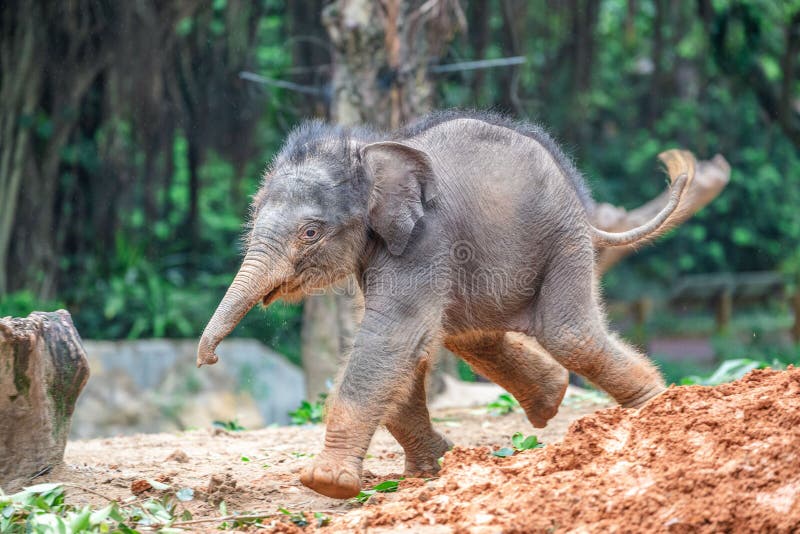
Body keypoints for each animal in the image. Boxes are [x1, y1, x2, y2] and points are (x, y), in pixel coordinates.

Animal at [197, 110, 695, 499]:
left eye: (310, 232)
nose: (209, 359)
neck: (370, 152)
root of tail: (587, 211)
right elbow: (408, 348)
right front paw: (436, 467)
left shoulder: (425, 240)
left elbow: (392, 335)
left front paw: (326, 483)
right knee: (471, 336)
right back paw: (551, 400)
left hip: (561, 240)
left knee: (567, 334)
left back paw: (658, 410)